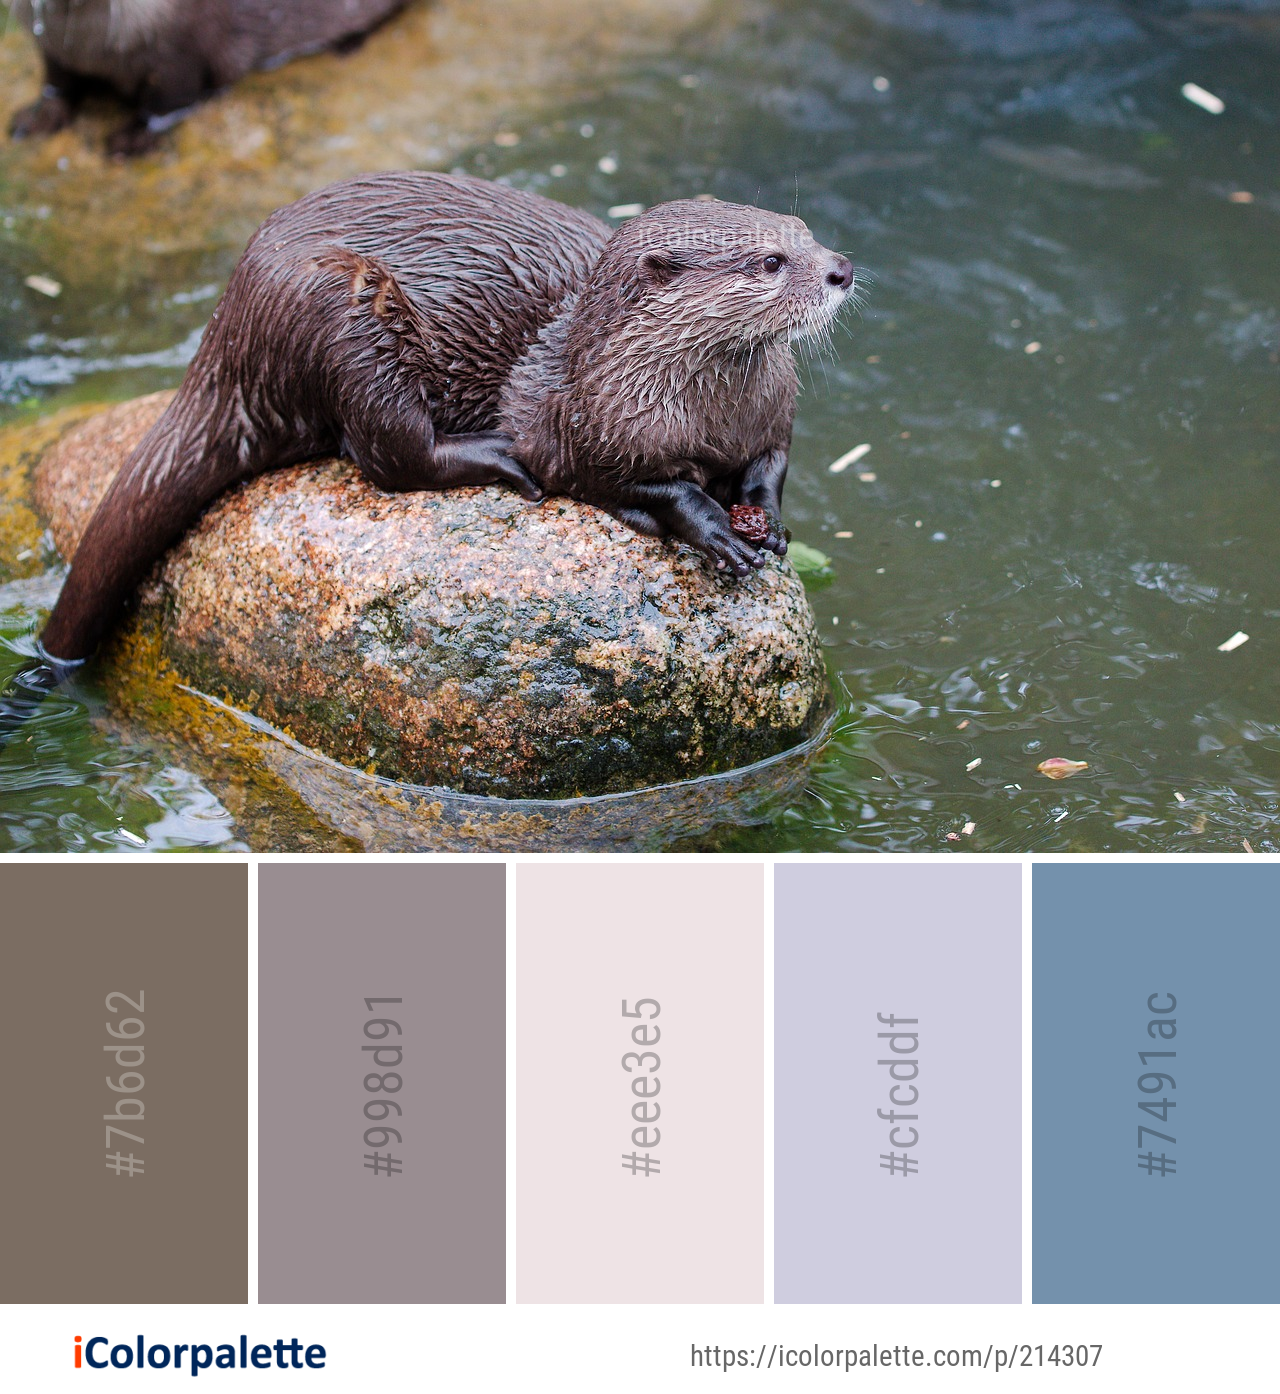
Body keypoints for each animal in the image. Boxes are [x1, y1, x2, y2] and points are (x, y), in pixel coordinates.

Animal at [1, 172, 853, 731]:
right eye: (770, 262)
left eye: (803, 232)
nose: (841, 269)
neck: (704, 414)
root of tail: (229, 332)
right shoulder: (576, 424)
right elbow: (620, 481)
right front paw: (709, 526)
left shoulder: (771, 416)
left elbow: (771, 465)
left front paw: (765, 520)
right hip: (342, 317)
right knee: (386, 454)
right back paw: (492, 457)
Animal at [7, 0, 407, 156]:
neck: (90, 48)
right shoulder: (54, 52)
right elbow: (57, 84)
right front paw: (37, 117)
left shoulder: (180, 52)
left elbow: (169, 101)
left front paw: (134, 137)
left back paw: (348, 44)